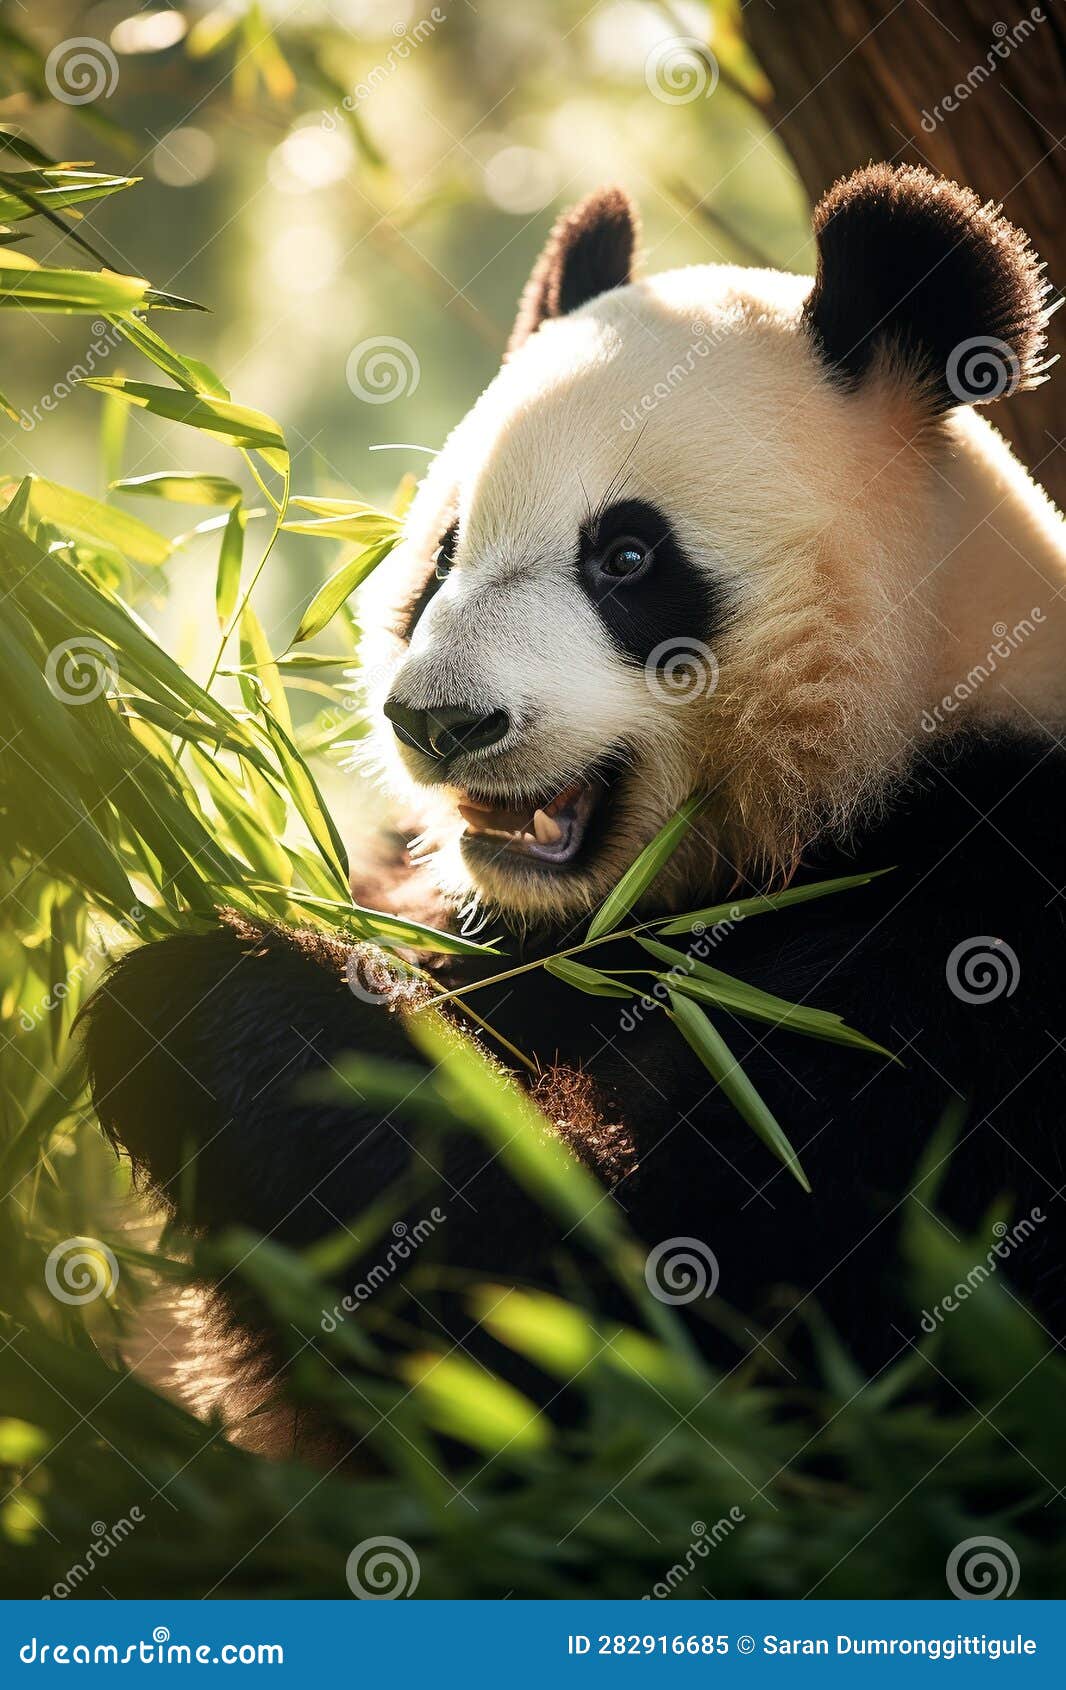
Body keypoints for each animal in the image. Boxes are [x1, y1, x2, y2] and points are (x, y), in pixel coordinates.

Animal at [85, 164, 1066, 1444]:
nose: (442, 722)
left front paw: (193, 1006)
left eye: (628, 559)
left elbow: (665, 1318)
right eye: (441, 557)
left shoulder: (974, 939)